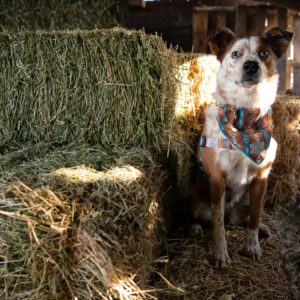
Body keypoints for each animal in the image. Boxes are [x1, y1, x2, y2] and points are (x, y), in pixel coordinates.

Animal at [190, 27, 292, 268]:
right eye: (235, 54)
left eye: (264, 53)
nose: (251, 66)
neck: (246, 113)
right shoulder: (217, 179)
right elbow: (218, 225)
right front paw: (220, 254)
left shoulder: (262, 179)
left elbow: (255, 217)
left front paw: (252, 247)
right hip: (196, 198)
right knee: (200, 218)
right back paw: (196, 228)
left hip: (244, 204)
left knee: (245, 219)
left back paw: (262, 229)